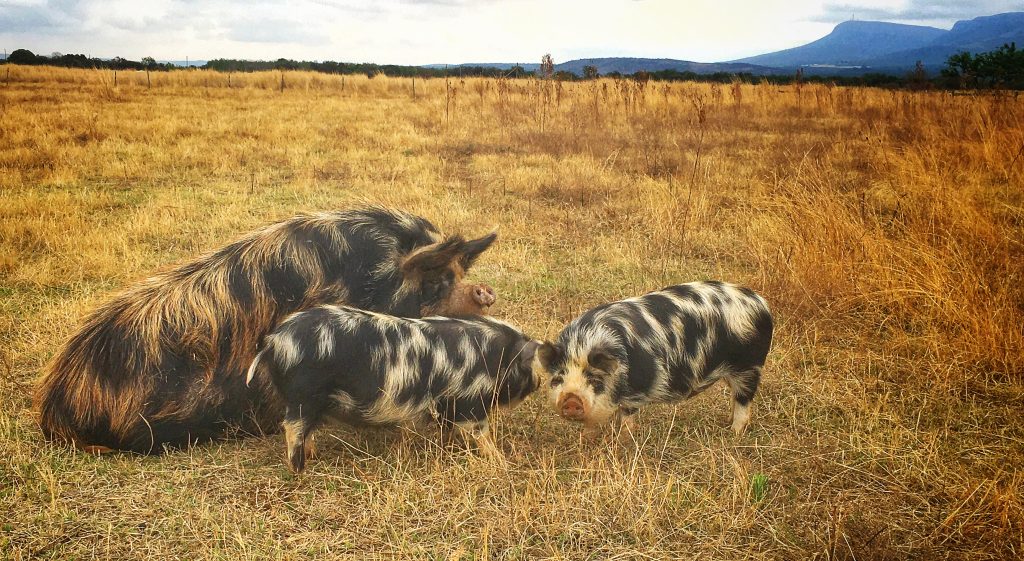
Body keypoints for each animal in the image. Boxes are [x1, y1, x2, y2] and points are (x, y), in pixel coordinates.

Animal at [246, 305, 541, 473]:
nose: (538, 384)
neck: (492, 358)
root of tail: (274, 342)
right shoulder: (471, 402)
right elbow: (482, 434)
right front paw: (501, 462)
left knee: (306, 430)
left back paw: (313, 455)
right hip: (304, 395)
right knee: (292, 427)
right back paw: (299, 469)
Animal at [538, 281, 773, 437]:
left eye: (594, 379)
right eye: (557, 379)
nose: (571, 400)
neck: (581, 344)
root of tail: (761, 303)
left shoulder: (635, 389)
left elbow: (627, 417)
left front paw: (624, 439)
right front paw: (588, 438)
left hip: (749, 366)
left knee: (743, 400)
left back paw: (734, 433)